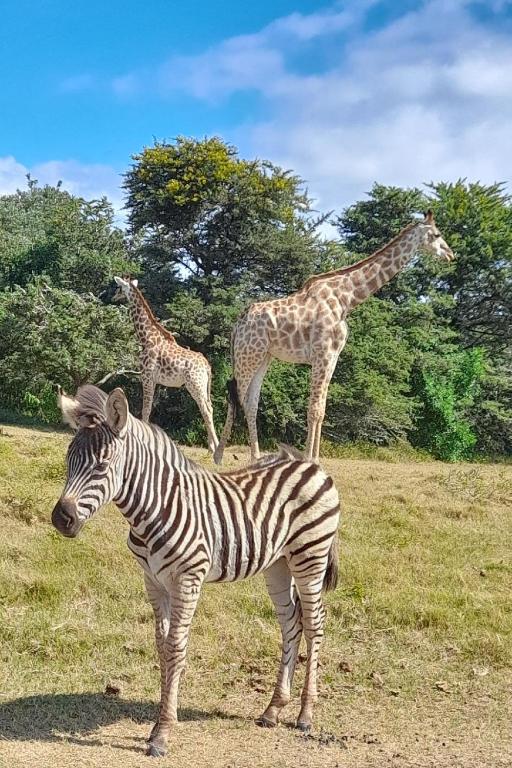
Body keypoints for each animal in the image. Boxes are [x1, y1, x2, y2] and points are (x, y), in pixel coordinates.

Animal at [51, 385, 341, 758]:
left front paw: (162, 733)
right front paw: (157, 723)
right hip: (278, 564)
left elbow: (176, 647)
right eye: (68, 461)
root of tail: (310, 464)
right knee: (291, 623)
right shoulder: (153, 581)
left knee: (315, 623)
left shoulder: (187, 579)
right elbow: (161, 646)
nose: (61, 519)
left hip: (310, 556)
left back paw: (305, 714)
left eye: (102, 466)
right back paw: (273, 709)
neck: (154, 507)